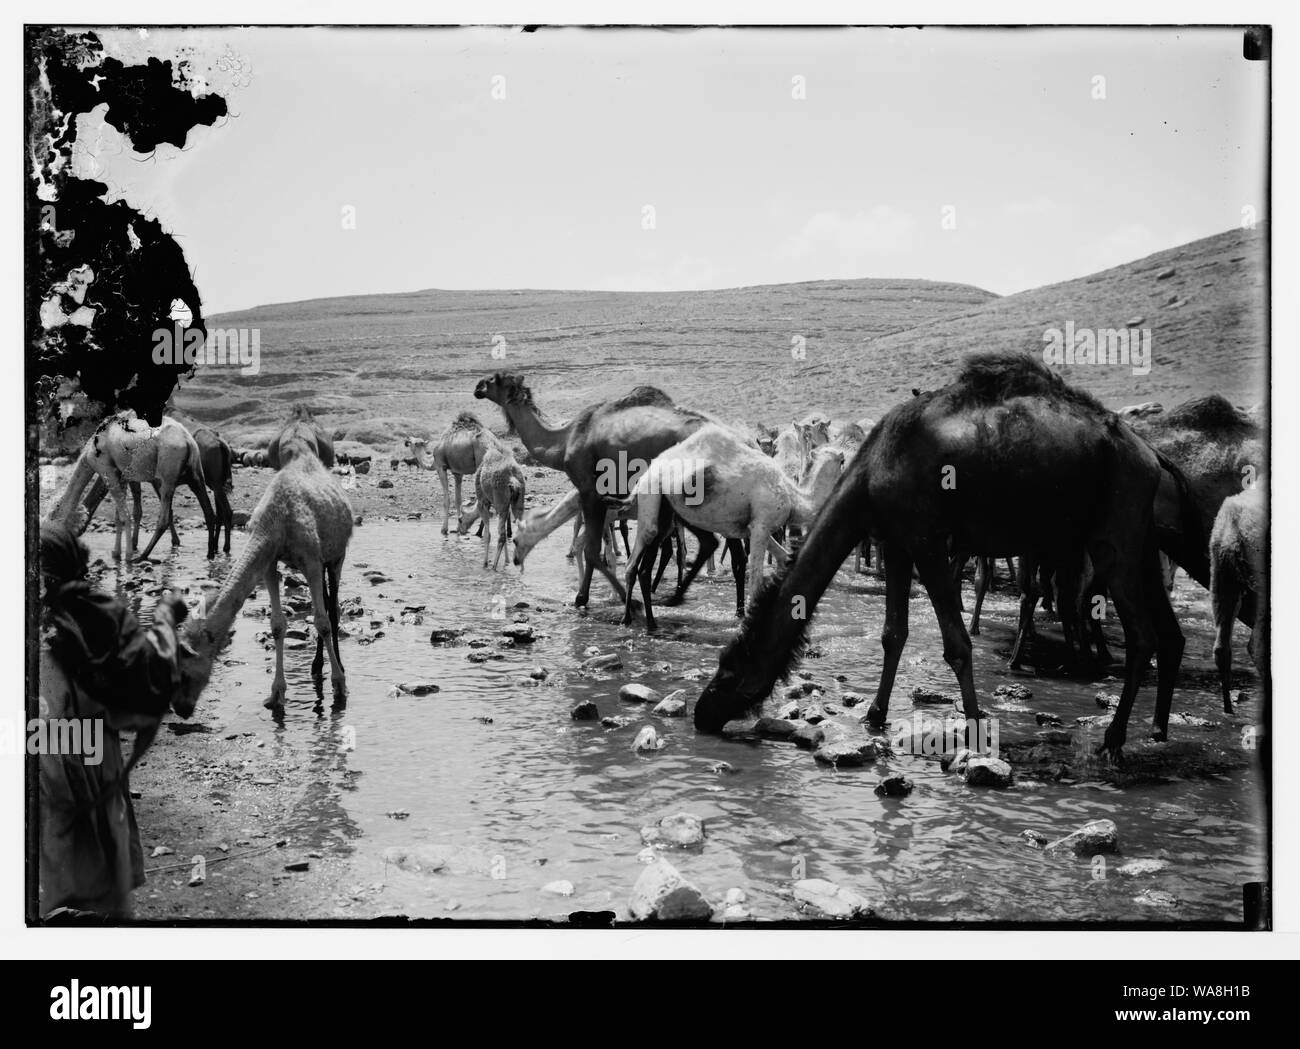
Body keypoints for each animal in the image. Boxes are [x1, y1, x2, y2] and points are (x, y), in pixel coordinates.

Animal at [49, 413, 218, 561]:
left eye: (52, 516)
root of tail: (188, 441)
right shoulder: (122, 475)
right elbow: (119, 516)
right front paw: (116, 553)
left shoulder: (106, 469)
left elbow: (126, 515)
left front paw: (127, 554)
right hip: (196, 474)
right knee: (209, 512)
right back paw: (210, 554)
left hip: (168, 472)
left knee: (164, 517)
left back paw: (142, 557)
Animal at [181, 405, 353, 713]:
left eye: (185, 671)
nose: (182, 707)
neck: (275, 523)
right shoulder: (271, 563)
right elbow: (277, 625)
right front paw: (276, 695)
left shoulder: (311, 560)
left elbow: (321, 621)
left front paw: (339, 686)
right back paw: (315, 667)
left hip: (336, 556)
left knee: (333, 608)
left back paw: (334, 668)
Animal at [474, 373, 711, 607]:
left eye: (495, 379)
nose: (478, 388)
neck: (563, 441)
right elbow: (593, 547)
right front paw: (590, 595)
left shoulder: (590, 491)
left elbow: (592, 550)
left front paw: (593, 598)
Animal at [621, 428, 847, 630]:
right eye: (843, 462)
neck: (794, 497)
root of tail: (644, 475)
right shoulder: (761, 526)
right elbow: (755, 578)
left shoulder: (755, 528)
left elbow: (784, 557)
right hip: (651, 495)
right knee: (640, 555)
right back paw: (639, 620)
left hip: (665, 509)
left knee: (642, 562)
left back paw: (640, 618)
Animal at [696, 351, 1184, 761]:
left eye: (729, 670)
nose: (701, 713)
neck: (870, 475)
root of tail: (1152, 456)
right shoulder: (894, 542)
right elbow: (892, 633)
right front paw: (875, 716)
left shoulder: (926, 539)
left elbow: (957, 643)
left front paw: (974, 727)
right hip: (1142, 542)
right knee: (1169, 632)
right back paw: (1158, 730)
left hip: (1114, 538)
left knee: (1142, 635)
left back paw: (1114, 740)